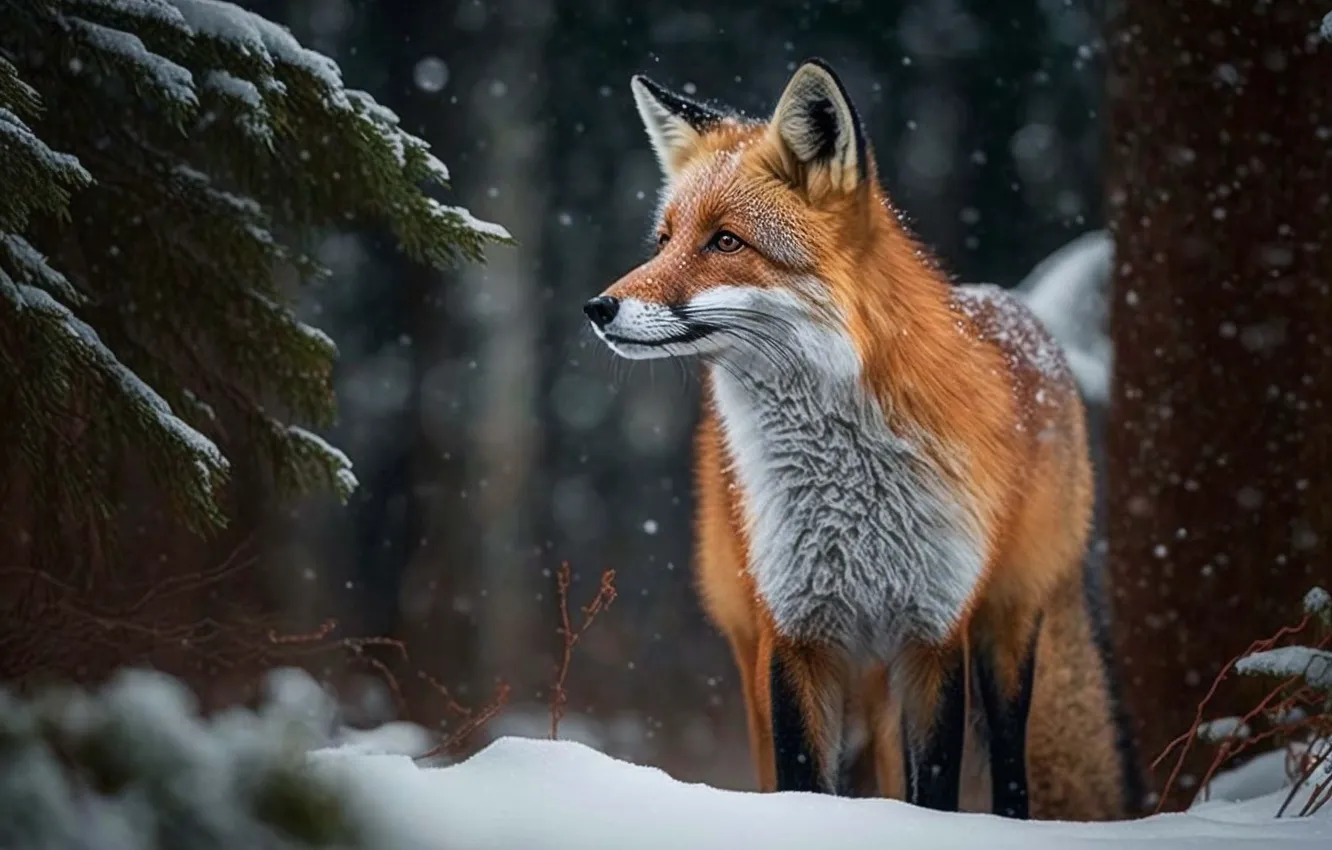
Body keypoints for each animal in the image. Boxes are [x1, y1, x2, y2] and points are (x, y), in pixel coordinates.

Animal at [583, 59, 1140, 820]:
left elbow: (935, 790)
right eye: (662, 242)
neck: (851, 494)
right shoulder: (795, 632)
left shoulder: (934, 632)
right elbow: (801, 783)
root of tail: (1019, 310)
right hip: (772, 652)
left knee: (1009, 771)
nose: (597, 307)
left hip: (1006, 628)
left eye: (725, 241)